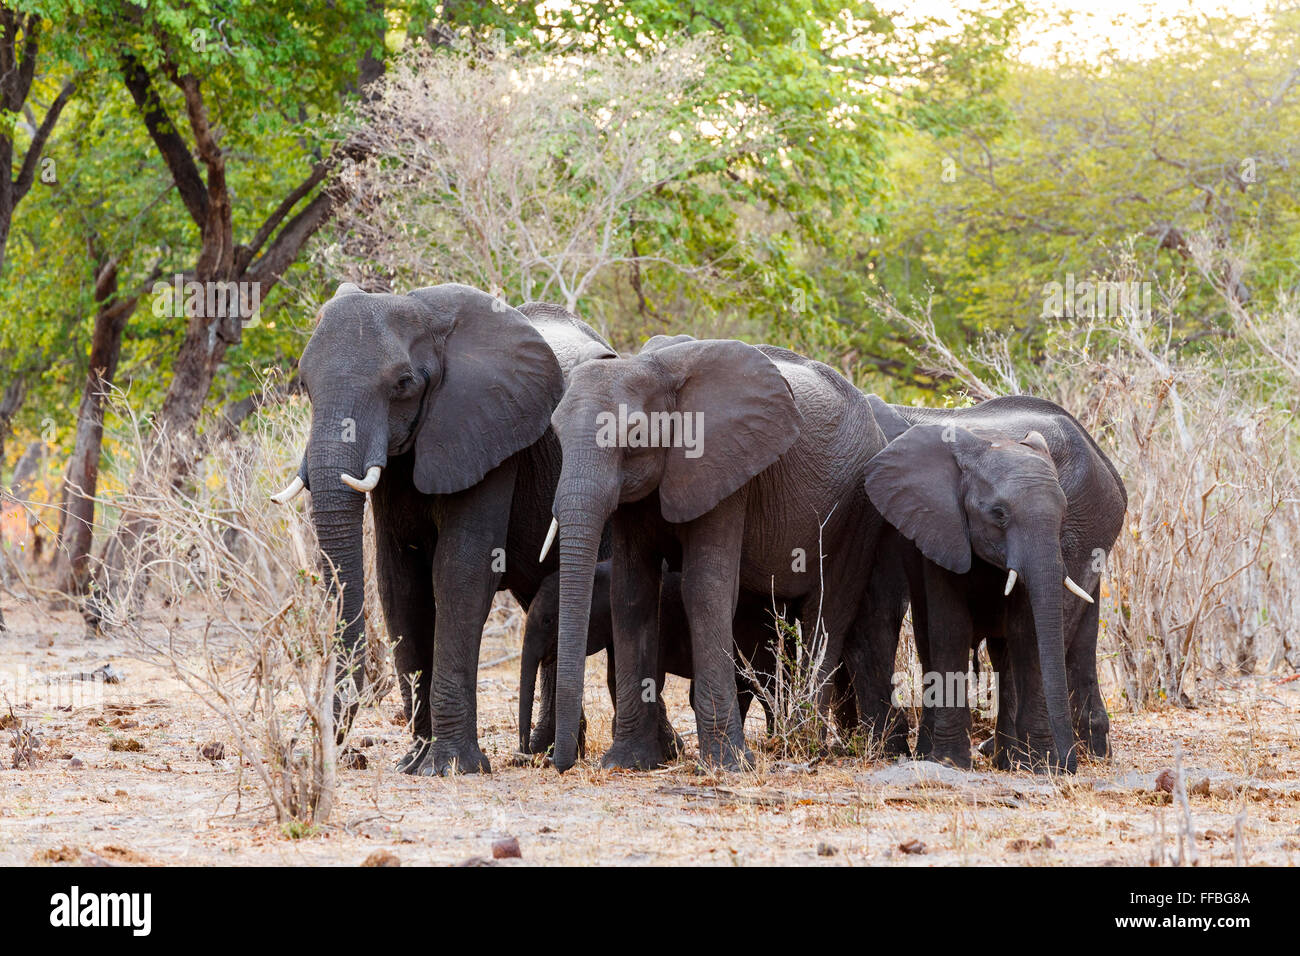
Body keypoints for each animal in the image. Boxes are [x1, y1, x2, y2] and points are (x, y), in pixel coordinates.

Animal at [276, 284, 614, 775]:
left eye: (403, 384)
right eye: (304, 384)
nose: (310, 748)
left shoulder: (490, 431)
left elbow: (461, 571)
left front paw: (452, 766)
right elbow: (400, 581)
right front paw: (413, 762)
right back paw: (543, 751)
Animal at [518, 561, 784, 756]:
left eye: (548, 621)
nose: (525, 755)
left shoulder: (659, 620)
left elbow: (649, 676)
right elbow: (615, 677)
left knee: (768, 685)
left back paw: (775, 743)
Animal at [546, 336, 891, 772]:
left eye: (635, 435)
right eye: (556, 433)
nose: (561, 763)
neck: (653, 368)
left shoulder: (725, 470)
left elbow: (705, 589)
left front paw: (728, 765)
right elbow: (631, 593)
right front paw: (626, 762)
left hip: (858, 508)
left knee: (826, 612)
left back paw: (803, 744)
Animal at [861, 394, 1127, 773]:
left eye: (1062, 515)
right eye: (998, 515)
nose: (1066, 766)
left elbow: (1026, 629)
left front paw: (1040, 764)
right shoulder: (935, 521)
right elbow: (948, 627)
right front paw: (947, 761)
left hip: (1089, 525)